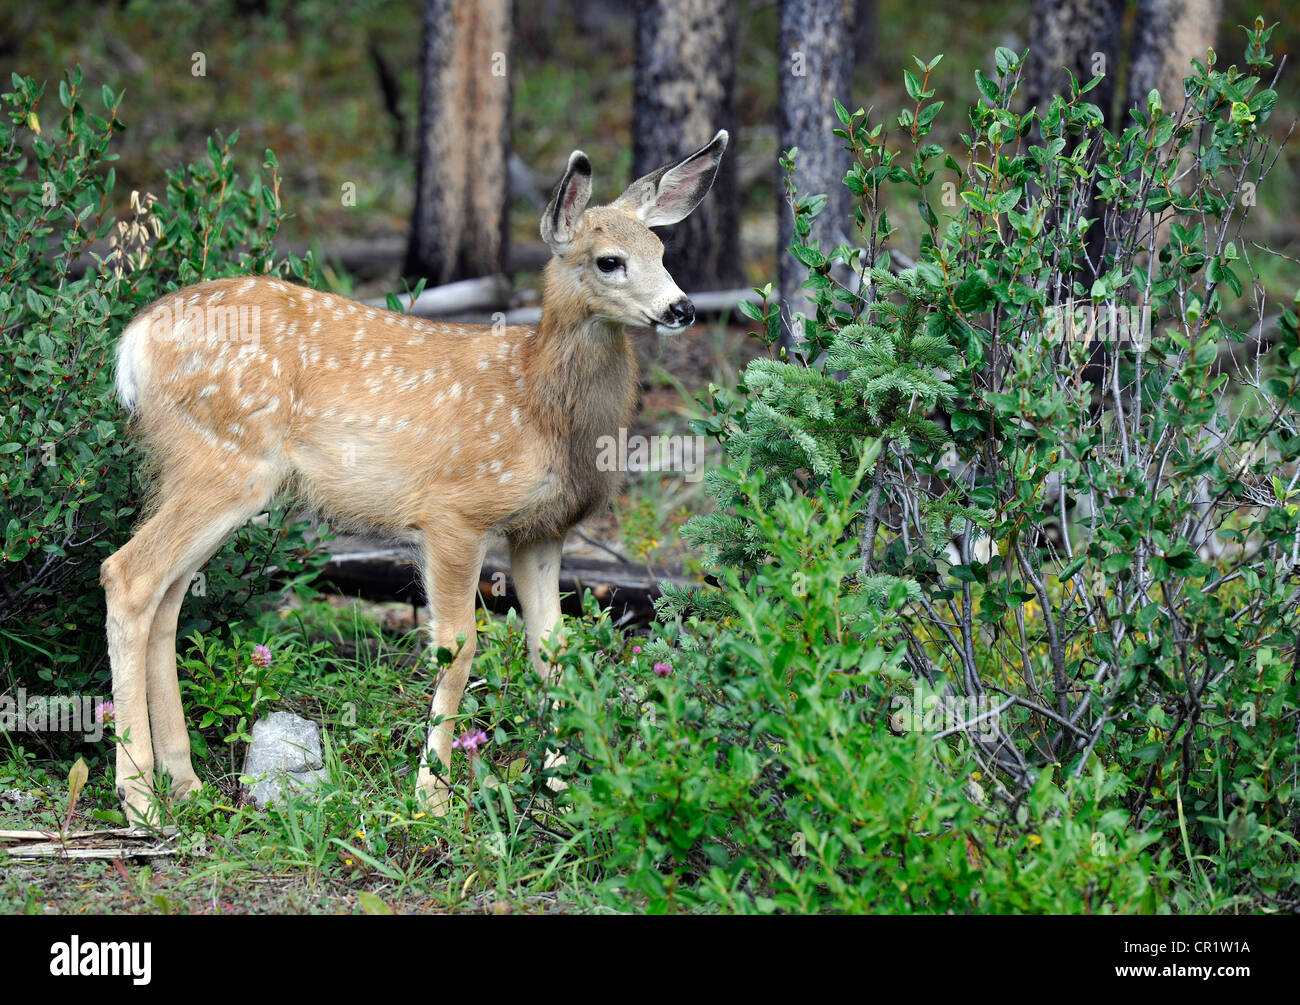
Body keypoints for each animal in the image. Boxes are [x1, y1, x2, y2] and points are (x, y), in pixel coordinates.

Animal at [101, 130, 729, 825]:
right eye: (609, 261)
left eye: (662, 251)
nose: (682, 308)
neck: (538, 405)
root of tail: (132, 343)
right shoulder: (455, 509)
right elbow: (457, 647)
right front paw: (432, 793)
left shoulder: (542, 529)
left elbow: (552, 652)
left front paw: (563, 785)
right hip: (224, 463)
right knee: (127, 575)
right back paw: (139, 801)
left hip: (201, 472)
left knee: (167, 598)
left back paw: (185, 783)